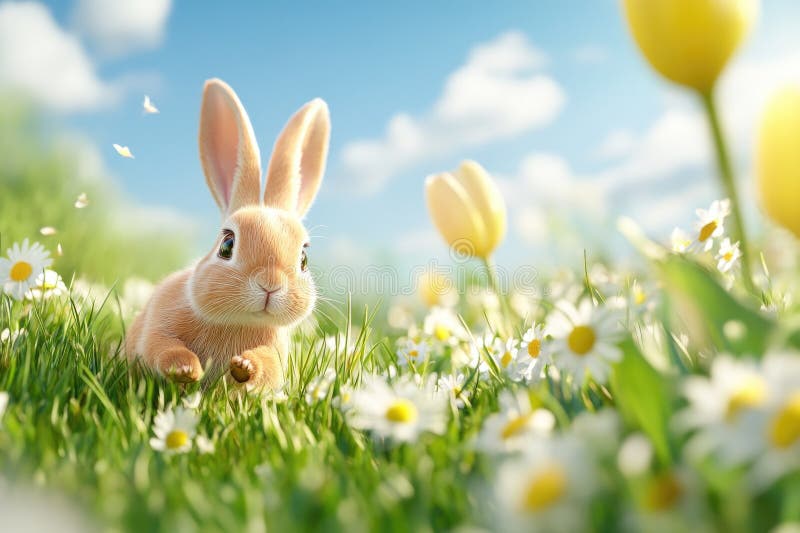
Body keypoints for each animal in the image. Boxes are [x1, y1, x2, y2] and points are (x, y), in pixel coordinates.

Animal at [125, 78, 329, 390]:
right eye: (227, 244)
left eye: (304, 260)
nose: (270, 285)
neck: (237, 321)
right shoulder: (158, 326)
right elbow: (162, 347)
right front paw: (187, 369)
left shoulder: (275, 352)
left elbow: (267, 365)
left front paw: (244, 365)